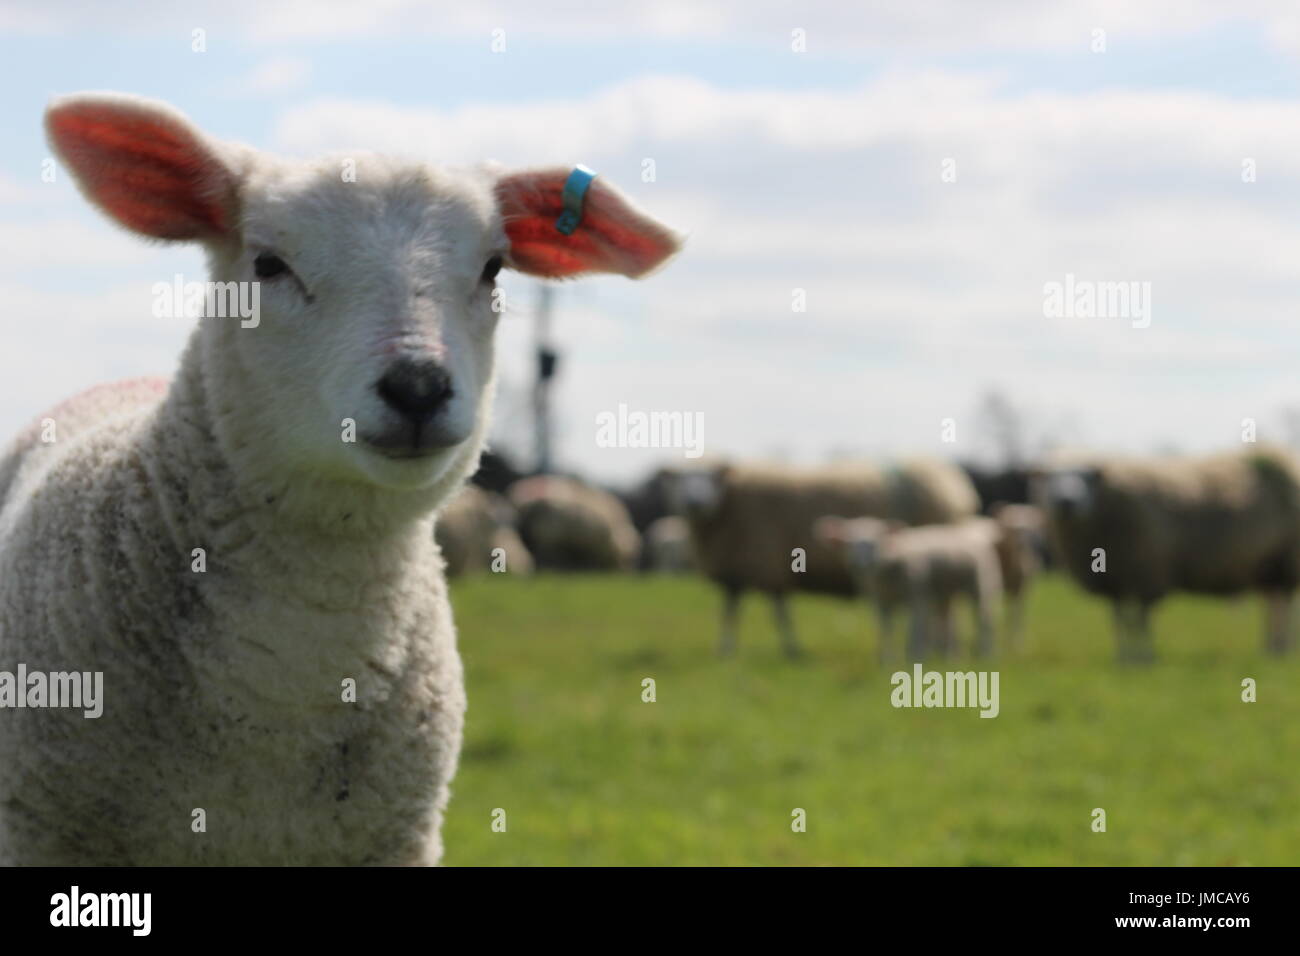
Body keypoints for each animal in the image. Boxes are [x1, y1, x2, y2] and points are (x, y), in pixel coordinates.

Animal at [668, 458, 978, 658]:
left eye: (712, 479)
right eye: (681, 481)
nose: (694, 503)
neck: (727, 506)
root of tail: (955, 486)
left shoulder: (759, 566)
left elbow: (759, 614)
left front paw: (736, 650)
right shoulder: (752, 571)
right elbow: (743, 612)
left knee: (942, 613)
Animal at [816, 516, 1004, 661]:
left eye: (875, 544)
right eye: (848, 543)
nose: (857, 564)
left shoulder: (917, 597)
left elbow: (915, 629)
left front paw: (914, 658)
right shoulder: (880, 602)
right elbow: (886, 629)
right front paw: (885, 661)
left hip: (979, 586)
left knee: (984, 621)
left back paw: (985, 655)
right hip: (945, 594)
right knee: (949, 622)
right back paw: (950, 657)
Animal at [1034, 448, 1300, 661]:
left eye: (1088, 477)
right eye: (1050, 478)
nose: (1065, 502)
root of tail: (1284, 456)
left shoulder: (1147, 574)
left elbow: (1141, 621)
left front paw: (1144, 658)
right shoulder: (1116, 581)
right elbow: (1119, 621)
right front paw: (1123, 657)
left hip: (1286, 562)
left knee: (1285, 607)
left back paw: (1281, 651)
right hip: (1268, 566)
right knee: (1272, 607)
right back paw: (1270, 648)